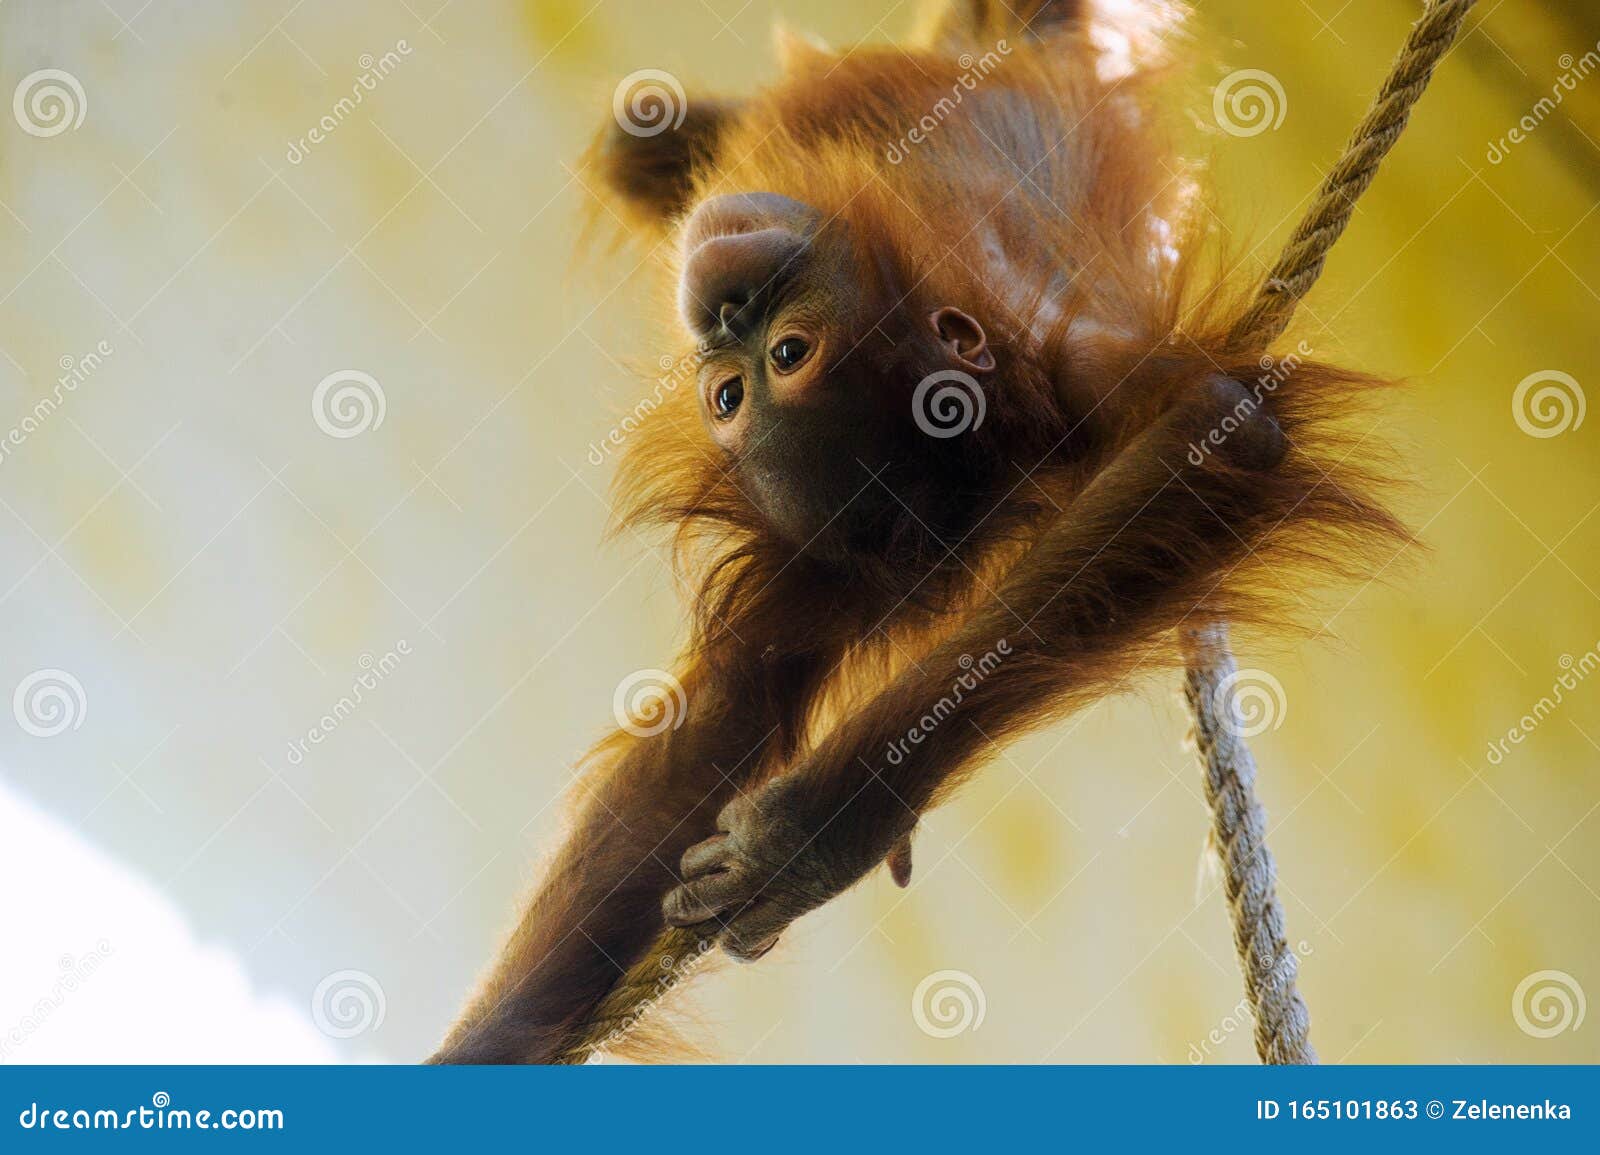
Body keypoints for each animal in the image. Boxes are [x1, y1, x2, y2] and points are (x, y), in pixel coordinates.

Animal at [431, 0, 1404, 1063]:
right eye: (728, 397)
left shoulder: (1066, 355)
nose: (725, 310)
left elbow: (1214, 433)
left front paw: (815, 834)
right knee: (642, 135)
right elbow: (707, 737)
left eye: (786, 355)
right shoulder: (814, 573)